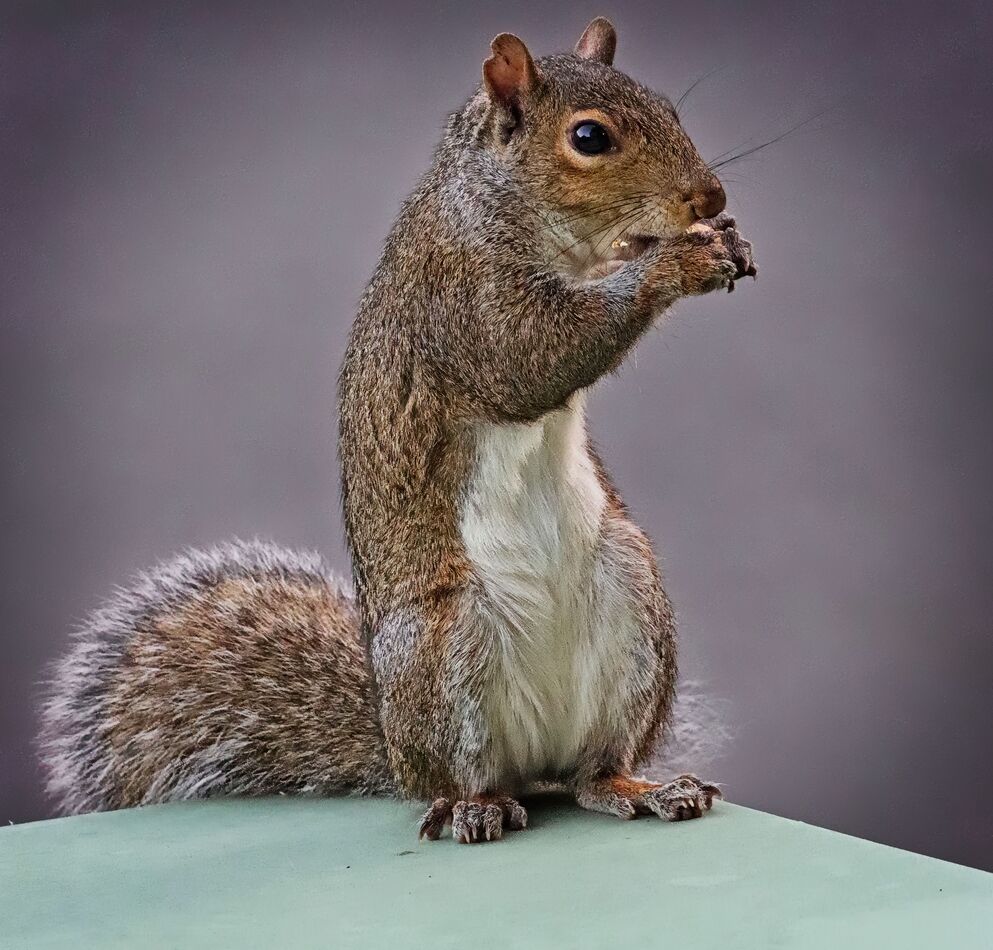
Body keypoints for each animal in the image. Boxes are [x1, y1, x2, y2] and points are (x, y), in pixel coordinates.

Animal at [40, 18, 756, 843]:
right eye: (588, 138)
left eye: (666, 105)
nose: (710, 195)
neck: (495, 203)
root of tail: (391, 741)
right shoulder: (458, 299)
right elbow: (530, 355)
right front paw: (679, 262)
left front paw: (721, 238)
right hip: (445, 649)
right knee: (459, 777)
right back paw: (473, 807)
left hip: (633, 600)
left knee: (590, 771)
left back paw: (638, 788)